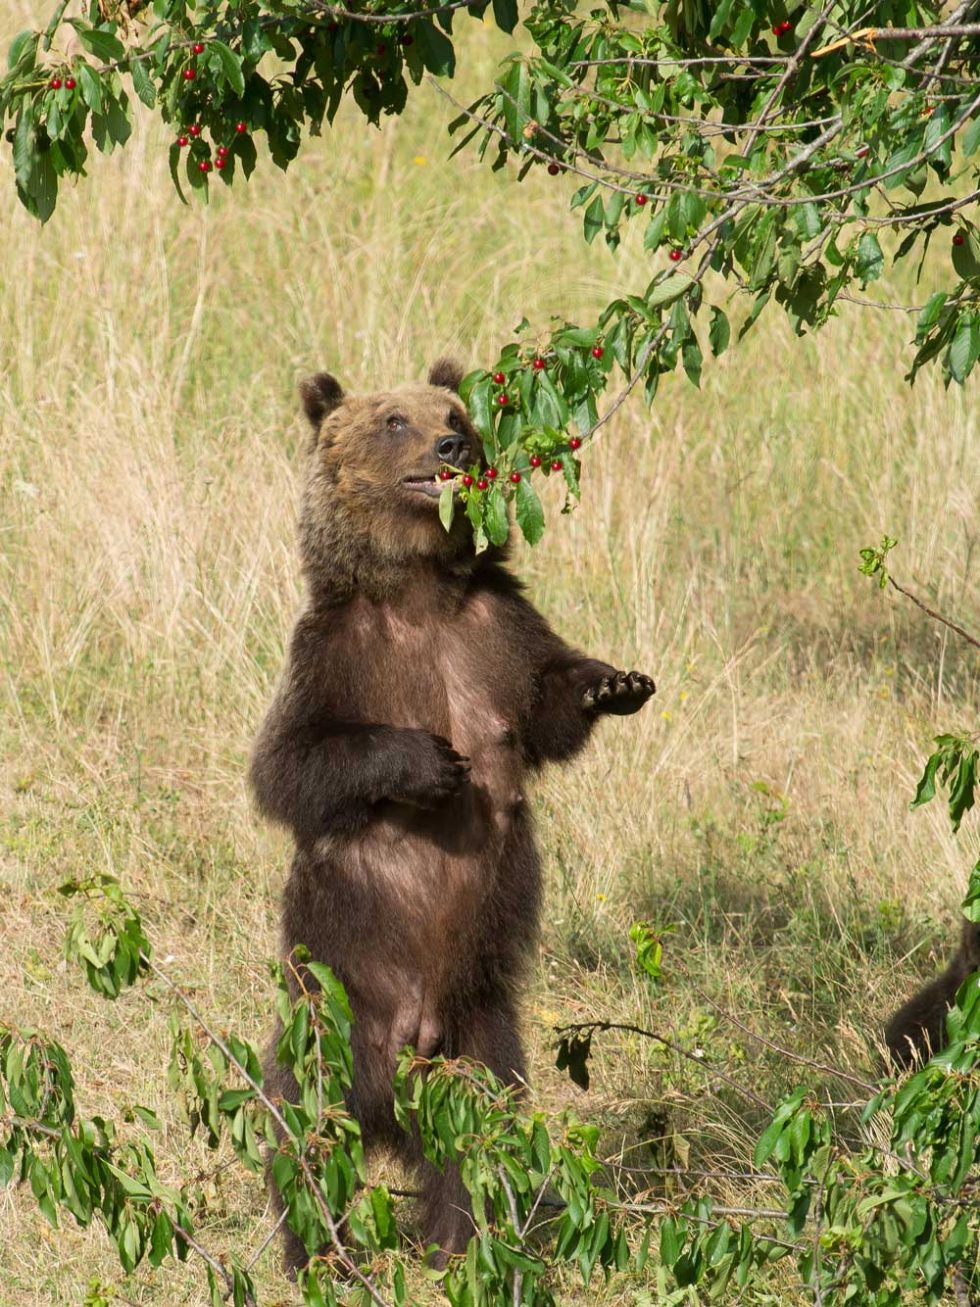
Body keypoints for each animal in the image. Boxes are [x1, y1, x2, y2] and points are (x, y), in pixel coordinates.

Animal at [249, 358, 655, 1271]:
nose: (452, 445)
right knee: (303, 1122)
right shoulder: (332, 652)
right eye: (393, 420)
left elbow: (549, 703)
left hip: (480, 1026)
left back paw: (462, 1242)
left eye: (456, 411)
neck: (419, 590)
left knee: (481, 1134)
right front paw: (430, 763)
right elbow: (288, 763)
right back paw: (318, 1249)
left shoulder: (500, 633)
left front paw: (615, 682)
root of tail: (400, 1070)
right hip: (334, 1006)